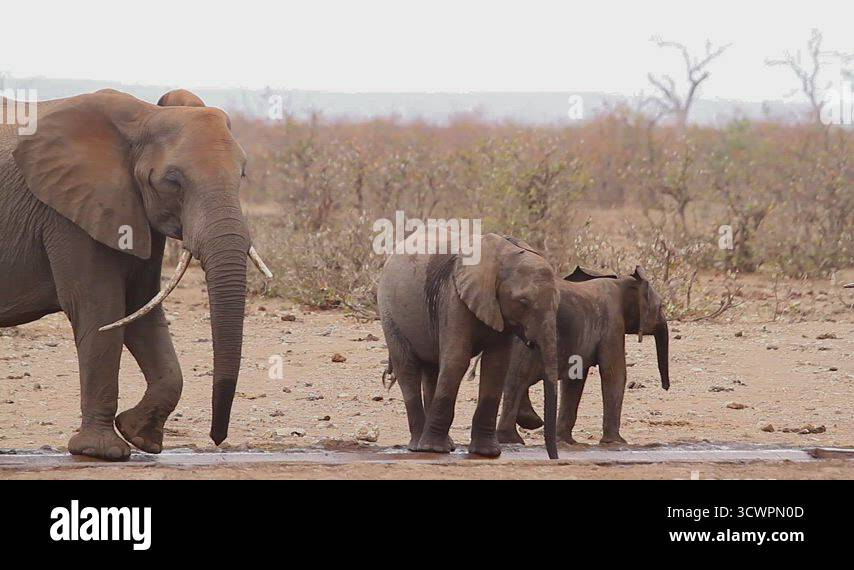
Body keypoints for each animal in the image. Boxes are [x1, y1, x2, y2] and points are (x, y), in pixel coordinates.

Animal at [0, 88, 271, 460]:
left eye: (242, 175)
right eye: (172, 181)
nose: (217, 439)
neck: (144, 118)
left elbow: (140, 309)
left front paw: (140, 437)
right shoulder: (70, 215)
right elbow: (100, 311)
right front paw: (101, 451)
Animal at [377, 231, 561, 459]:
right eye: (523, 302)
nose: (554, 458)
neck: (504, 253)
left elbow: (496, 365)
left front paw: (487, 453)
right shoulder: (454, 298)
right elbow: (457, 360)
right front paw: (434, 450)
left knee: (432, 370)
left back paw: (441, 444)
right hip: (389, 312)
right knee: (408, 368)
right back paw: (421, 446)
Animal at [497, 266, 670, 446]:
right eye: (661, 307)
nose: (665, 387)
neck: (623, 281)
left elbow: (575, 379)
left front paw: (567, 442)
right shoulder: (613, 324)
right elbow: (615, 374)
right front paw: (617, 443)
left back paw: (526, 426)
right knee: (519, 378)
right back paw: (512, 439)